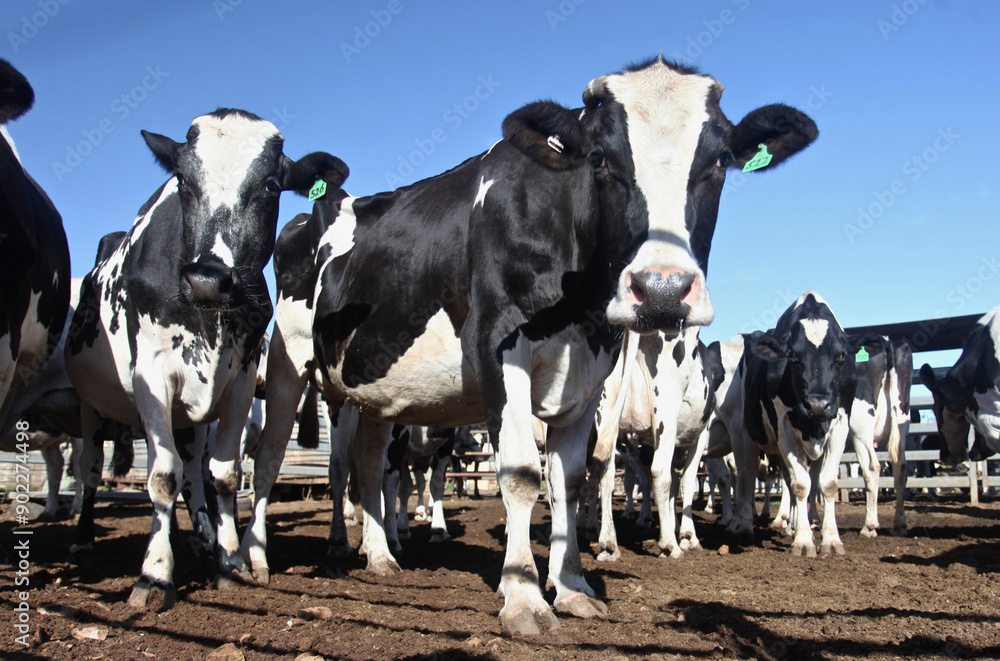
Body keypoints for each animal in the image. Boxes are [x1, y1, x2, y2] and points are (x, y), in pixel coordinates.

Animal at [63, 108, 346, 610]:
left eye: (270, 185)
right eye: (182, 178)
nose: (209, 280)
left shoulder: (242, 375)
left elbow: (224, 476)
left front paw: (230, 563)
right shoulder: (151, 374)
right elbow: (161, 476)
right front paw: (155, 574)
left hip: (189, 418)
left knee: (193, 474)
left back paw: (201, 538)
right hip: (90, 406)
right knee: (92, 469)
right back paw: (84, 540)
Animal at [243, 56, 818, 634]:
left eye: (721, 160)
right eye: (599, 158)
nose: (662, 289)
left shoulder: (591, 374)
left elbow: (568, 479)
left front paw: (572, 587)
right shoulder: (497, 347)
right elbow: (521, 474)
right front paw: (523, 595)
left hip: (377, 391)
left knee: (367, 463)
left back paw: (381, 556)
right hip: (289, 361)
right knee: (273, 457)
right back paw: (256, 558)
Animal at [732, 292, 885, 556]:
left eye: (841, 355)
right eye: (793, 356)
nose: (817, 405)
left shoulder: (840, 423)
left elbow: (827, 484)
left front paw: (830, 538)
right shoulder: (783, 428)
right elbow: (801, 485)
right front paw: (803, 541)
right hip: (749, 431)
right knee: (748, 474)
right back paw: (747, 526)